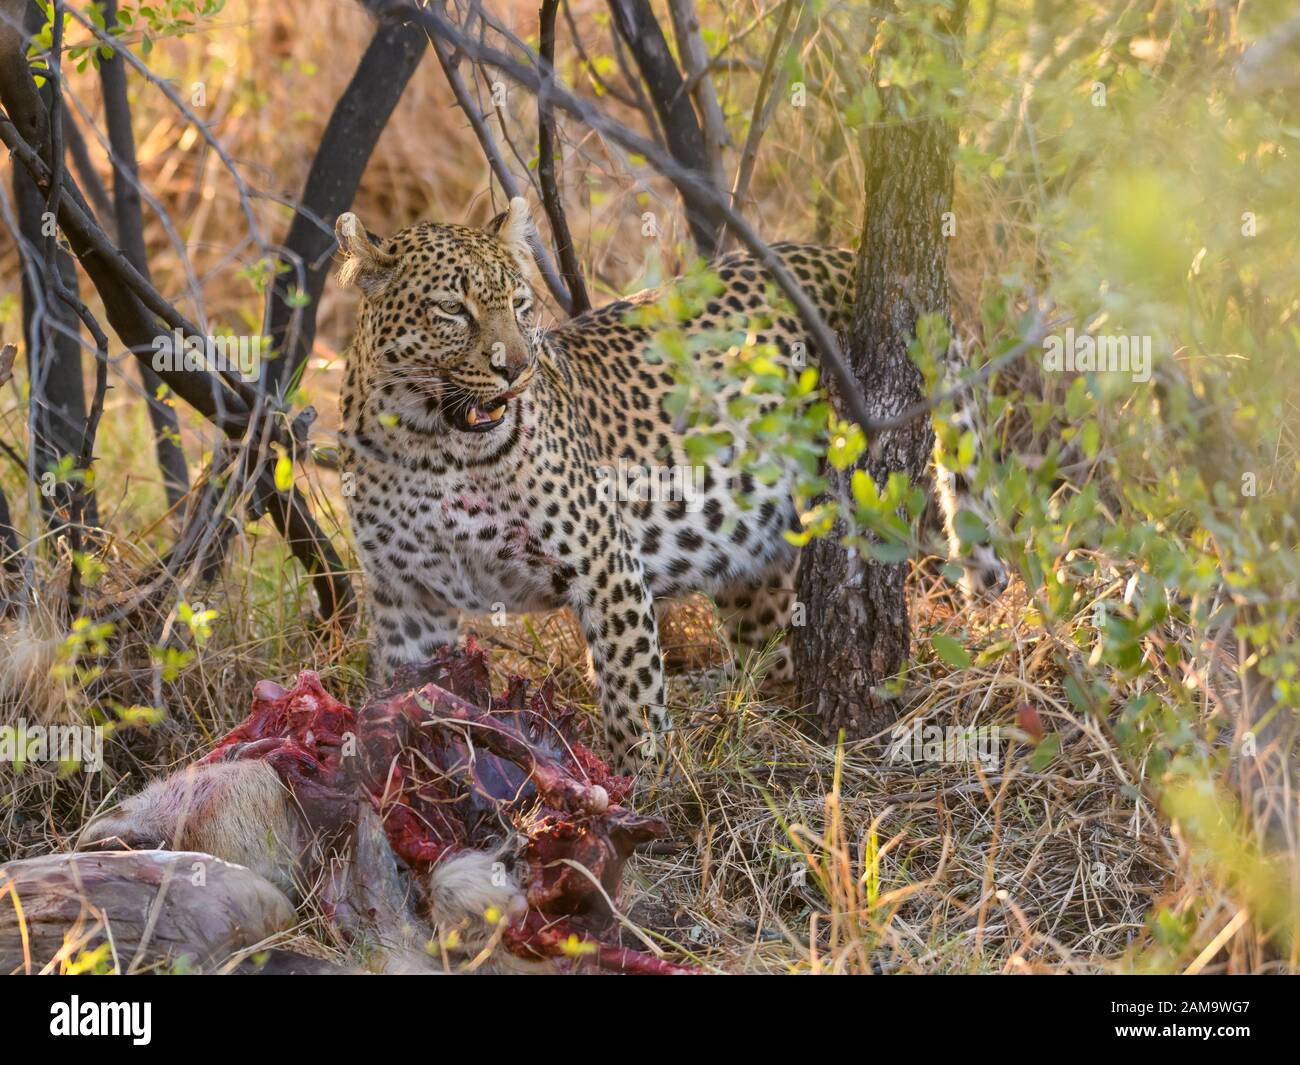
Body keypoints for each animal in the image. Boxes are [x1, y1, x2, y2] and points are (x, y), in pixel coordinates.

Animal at [334, 198, 1006, 773]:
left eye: (521, 305)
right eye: (453, 310)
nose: (516, 368)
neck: (424, 447)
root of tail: (839, 256)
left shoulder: (604, 563)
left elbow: (631, 694)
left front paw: (642, 790)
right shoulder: (408, 601)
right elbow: (405, 692)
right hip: (751, 563)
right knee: (772, 649)